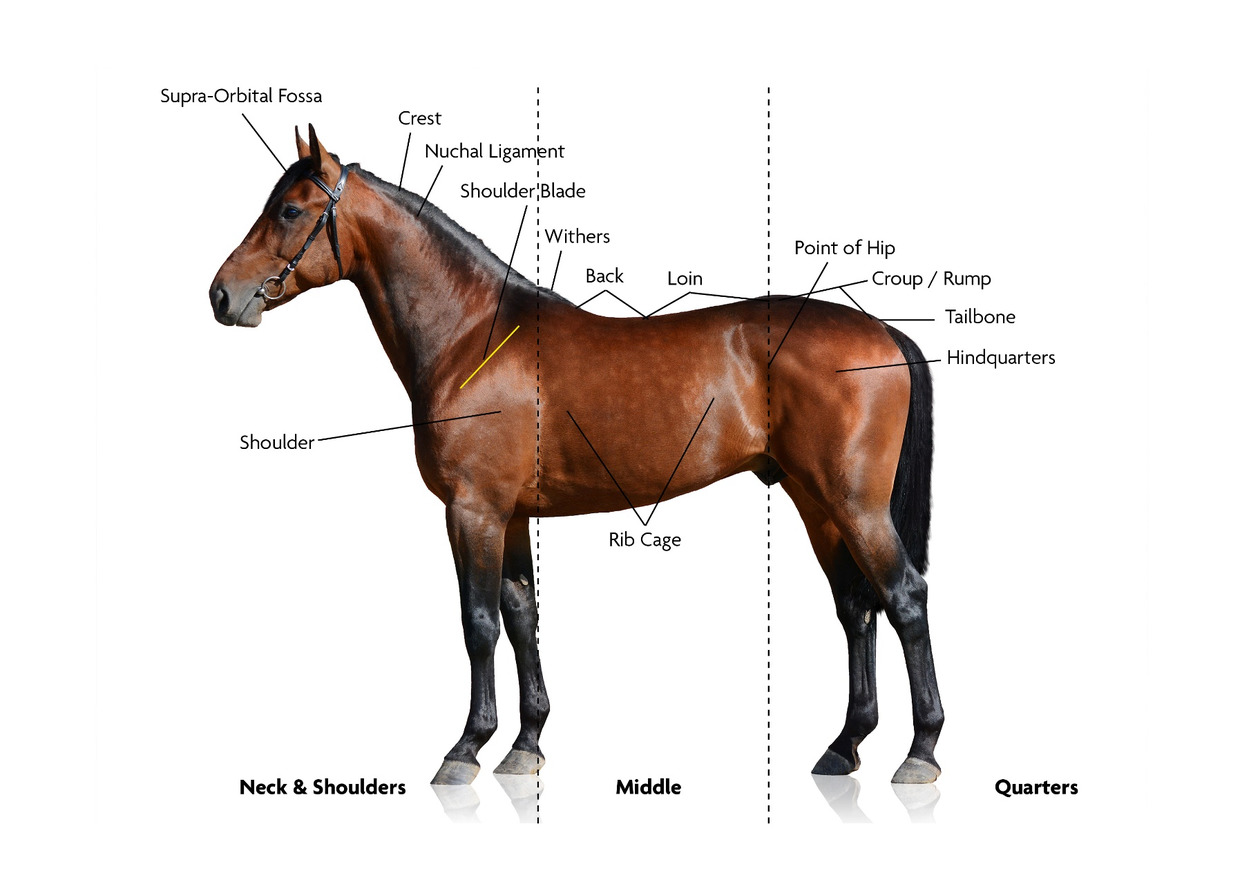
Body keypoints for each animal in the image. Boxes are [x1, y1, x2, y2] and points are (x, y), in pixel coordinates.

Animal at [209, 126, 944, 786]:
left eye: (290, 210)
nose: (221, 295)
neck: (471, 335)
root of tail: (884, 332)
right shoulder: (508, 515)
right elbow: (522, 616)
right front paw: (525, 744)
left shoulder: (471, 510)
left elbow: (478, 623)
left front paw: (465, 749)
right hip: (816, 503)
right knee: (856, 608)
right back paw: (844, 746)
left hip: (853, 504)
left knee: (904, 598)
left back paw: (920, 753)